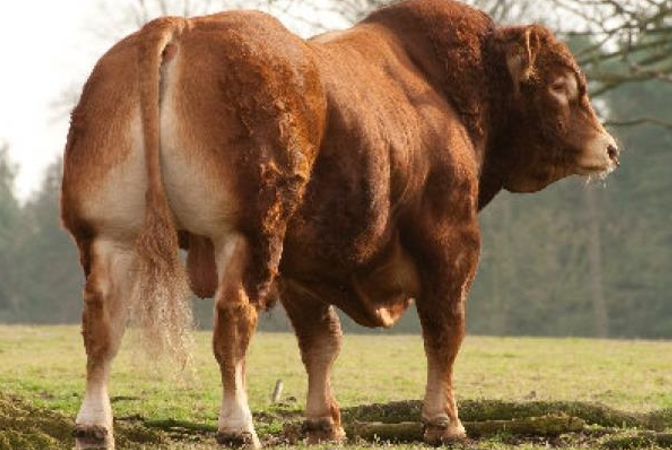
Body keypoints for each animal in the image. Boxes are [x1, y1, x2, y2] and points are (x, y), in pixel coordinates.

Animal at [61, 0, 619, 448]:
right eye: (561, 87)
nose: (610, 147)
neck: (444, 93)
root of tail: (183, 25)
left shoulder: (303, 265)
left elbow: (321, 341)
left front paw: (322, 422)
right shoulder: (450, 243)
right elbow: (444, 331)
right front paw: (446, 422)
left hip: (108, 236)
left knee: (101, 325)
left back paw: (93, 426)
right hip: (247, 234)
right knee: (233, 320)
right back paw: (238, 426)